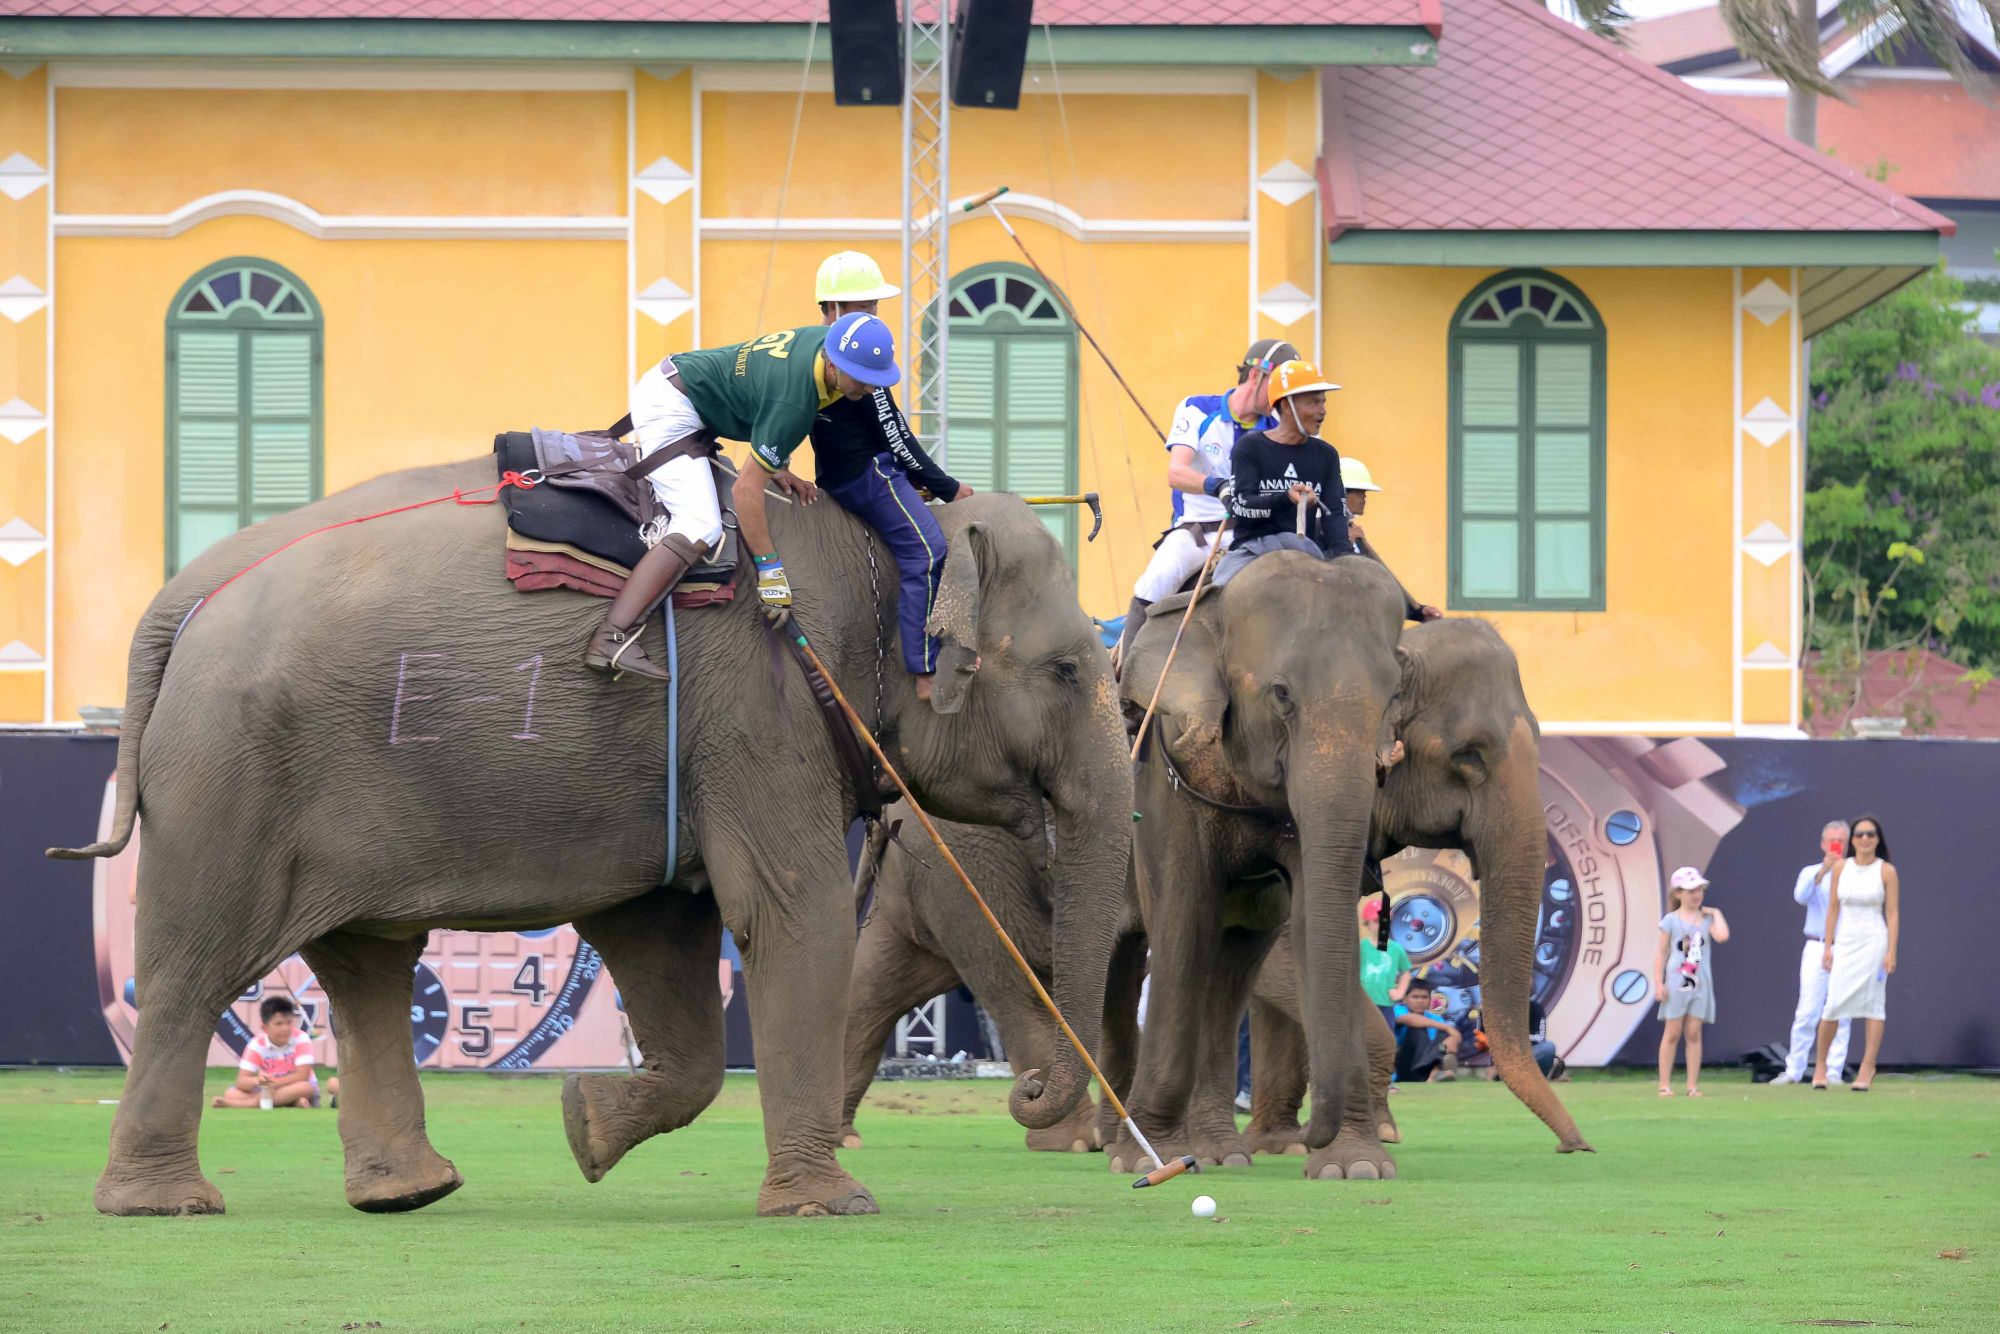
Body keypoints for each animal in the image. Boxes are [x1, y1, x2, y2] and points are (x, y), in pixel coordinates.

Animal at [838, 805, 1146, 1156]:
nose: (1033, 1085)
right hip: (963, 866)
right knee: (1016, 982)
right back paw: (1075, 1142)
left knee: (874, 991)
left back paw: (842, 1137)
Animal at [1110, 552, 1412, 1181]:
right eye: (1281, 693)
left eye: (1393, 696)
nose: (1312, 1133)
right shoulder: (1165, 776)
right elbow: (1182, 919)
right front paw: (1147, 1159)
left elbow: (1313, 925)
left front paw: (1354, 1166)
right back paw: (1091, 1140)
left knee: (1230, 968)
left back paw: (1215, 1151)